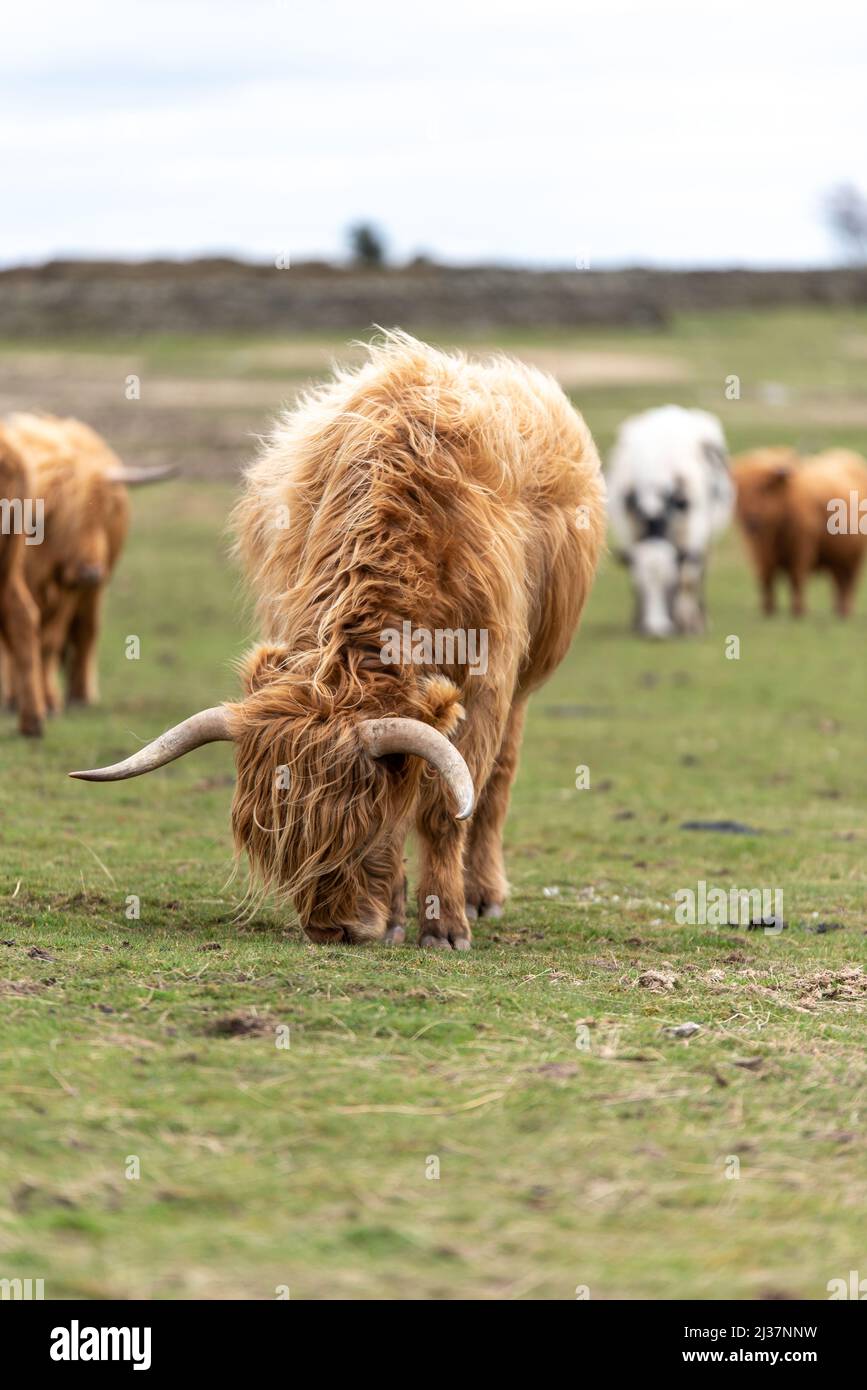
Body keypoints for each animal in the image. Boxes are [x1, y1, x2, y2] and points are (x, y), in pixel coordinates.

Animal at [1, 414, 174, 712]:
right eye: (60, 514)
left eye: (104, 511)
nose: (91, 571)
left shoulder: (71, 589)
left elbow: (50, 641)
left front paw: (50, 700)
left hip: (90, 596)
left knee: (85, 632)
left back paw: (79, 696)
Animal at [70, 333, 605, 950]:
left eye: (364, 825)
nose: (334, 928)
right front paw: (395, 917)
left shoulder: (485, 683)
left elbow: (448, 809)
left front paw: (445, 925)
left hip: (529, 676)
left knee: (497, 781)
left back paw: (483, 893)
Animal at [607, 405, 733, 637]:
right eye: (641, 586)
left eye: (670, 586)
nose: (656, 631)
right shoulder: (630, 530)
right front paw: (637, 621)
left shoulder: (693, 531)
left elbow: (688, 579)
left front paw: (688, 625)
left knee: (700, 573)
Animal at [732, 446, 867, 616]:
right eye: (739, 490)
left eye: (763, 487)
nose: (749, 519)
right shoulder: (758, 552)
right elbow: (766, 577)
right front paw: (768, 610)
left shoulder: (801, 550)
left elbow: (796, 578)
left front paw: (798, 611)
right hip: (837, 557)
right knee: (839, 583)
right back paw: (838, 611)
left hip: (854, 558)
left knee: (849, 584)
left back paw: (845, 612)